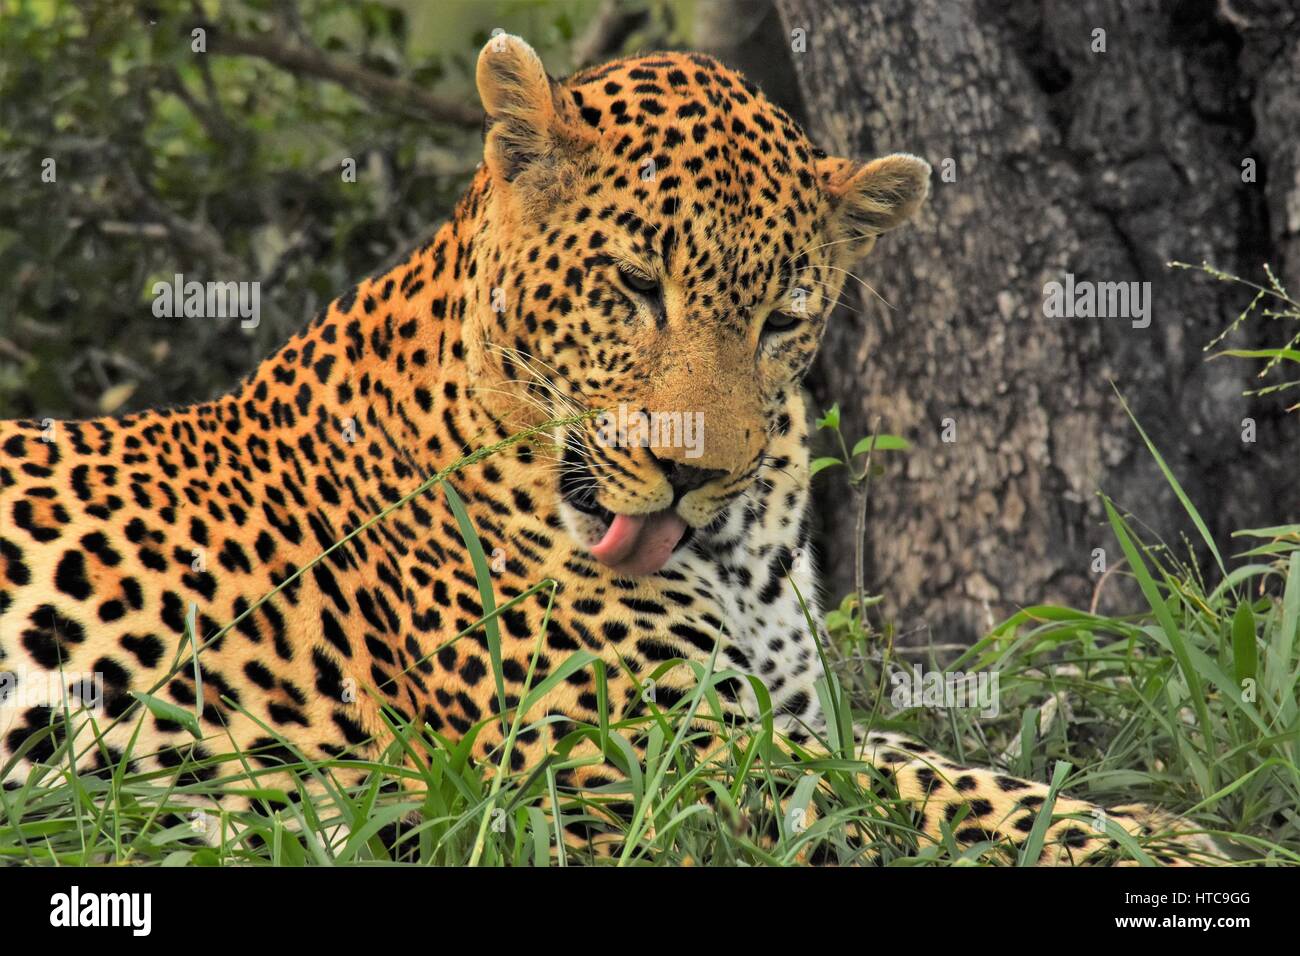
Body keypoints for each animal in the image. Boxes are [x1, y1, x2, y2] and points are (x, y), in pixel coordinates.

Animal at [0, 34, 1220, 865]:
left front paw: (1147, 822)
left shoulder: (776, 709)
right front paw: (1155, 842)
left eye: (781, 317)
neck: (741, 548)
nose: (696, 474)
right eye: (635, 286)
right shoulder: (632, 756)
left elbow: (927, 761)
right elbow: (908, 794)